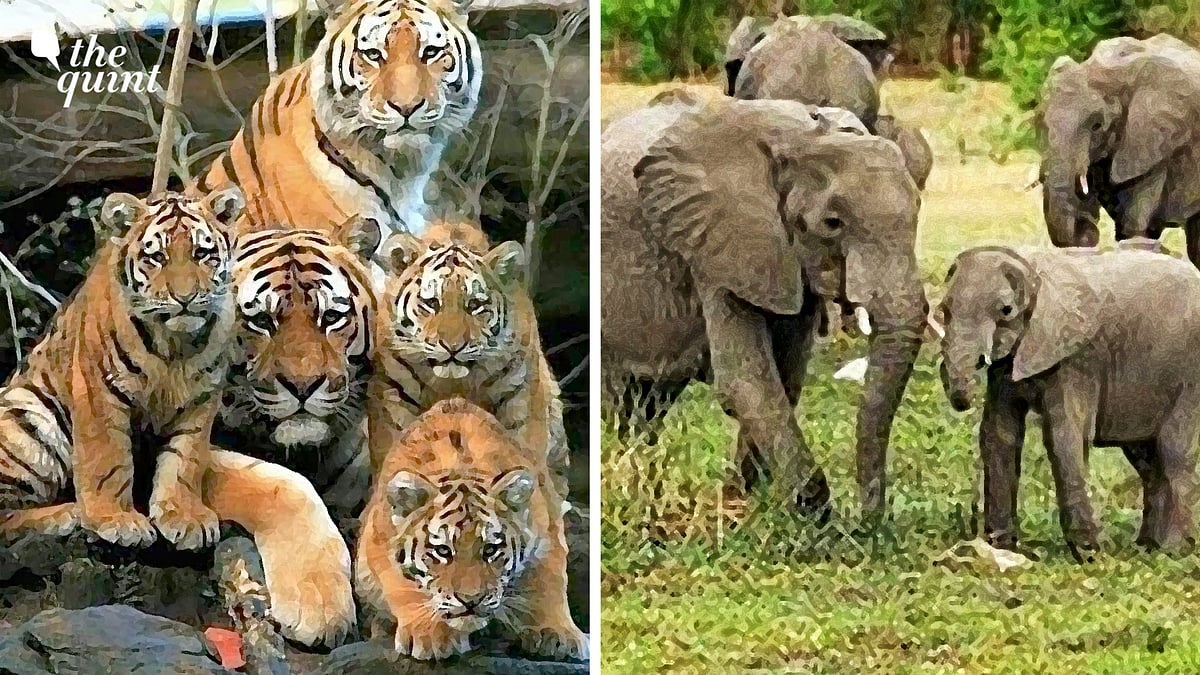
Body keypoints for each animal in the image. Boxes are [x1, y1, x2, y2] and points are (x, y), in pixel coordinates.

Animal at [0, 188, 243, 551]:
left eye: (202, 253)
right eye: (157, 257)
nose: (185, 298)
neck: (174, 346)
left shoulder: (201, 398)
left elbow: (186, 458)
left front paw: (185, 516)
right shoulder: (98, 390)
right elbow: (109, 458)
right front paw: (116, 519)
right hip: (27, 418)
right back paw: (67, 515)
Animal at [355, 398, 586, 661]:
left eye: (491, 549)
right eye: (442, 551)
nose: (471, 601)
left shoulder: (546, 524)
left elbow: (549, 580)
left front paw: (557, 633)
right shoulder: (378, 537)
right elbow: (402, 585)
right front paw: (432, 634)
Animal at [601, 94, 928, 519]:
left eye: (918, 209)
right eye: (832, 223)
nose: (867, 519)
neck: (803, 139)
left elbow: (785, 377)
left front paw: (744, 506)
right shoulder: (715, 247)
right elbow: (746, 380)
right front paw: (814, 514)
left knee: (650, 403)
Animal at [937, 244, 1200, 557]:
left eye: (1006, 310)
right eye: (943, 309)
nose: (965, 397)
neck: (1031, 269)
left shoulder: (1076, 357)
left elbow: (1063, 434)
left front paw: (1089, 553)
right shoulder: (1008, 366)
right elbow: (999, 434)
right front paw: (1000, 546)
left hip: (1191, 376)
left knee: (1174, 452)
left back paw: (1173, 550)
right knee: (1147, 460)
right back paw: (1148, 548)